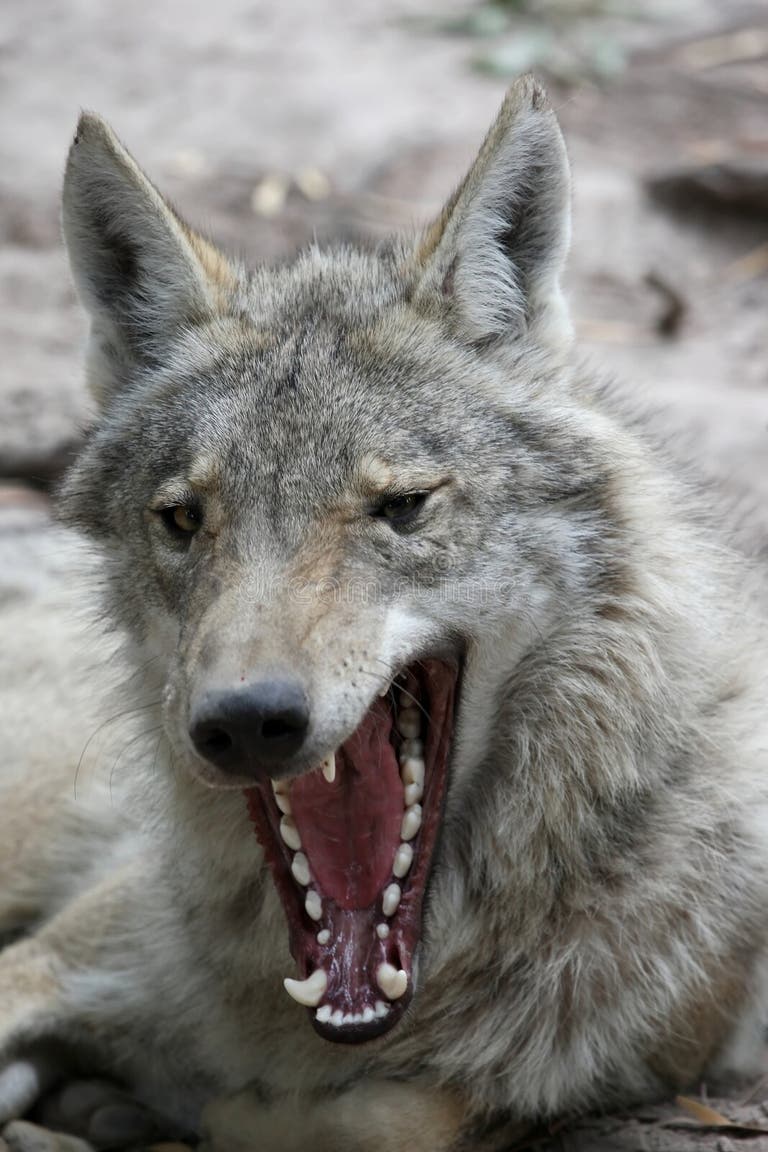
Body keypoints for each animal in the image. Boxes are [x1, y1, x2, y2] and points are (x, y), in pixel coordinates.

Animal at [1, 75, 768, 1152]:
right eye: (184, 520)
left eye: (401, 507)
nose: (245, 723)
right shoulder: (50, 959)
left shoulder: (640, 1051)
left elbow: (385, 1117)